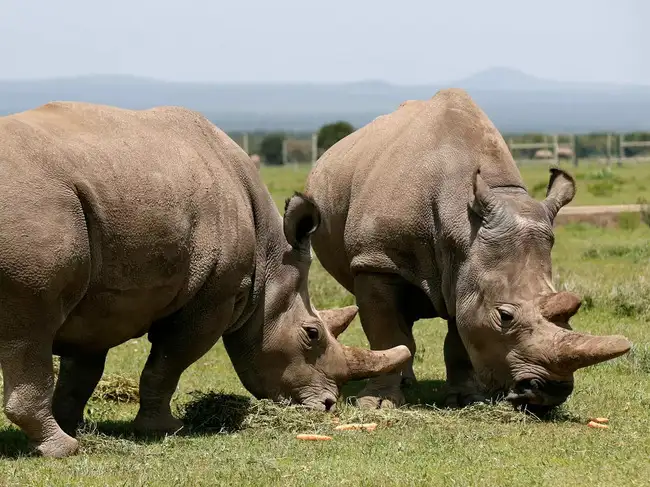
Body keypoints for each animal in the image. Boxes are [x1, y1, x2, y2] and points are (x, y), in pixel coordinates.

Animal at [0, 102, 410, 457]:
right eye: (312, 334)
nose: (326, 406)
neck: (270, 261)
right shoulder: (213, 297)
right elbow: (167, 364)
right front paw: (164, 430)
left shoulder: (102, 303)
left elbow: (83, 371)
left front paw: (74, 424)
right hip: (34, 212)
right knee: (31, 331)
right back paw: (63, 450)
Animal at [303, 89, 631, 412]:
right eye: (505, 316)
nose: (552, 392)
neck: (460, 223)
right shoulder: (376, 261)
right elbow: (386, 333)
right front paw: (378, 404)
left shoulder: (467, 269)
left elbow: (461, 334)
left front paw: (467, 399)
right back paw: (404, 385)